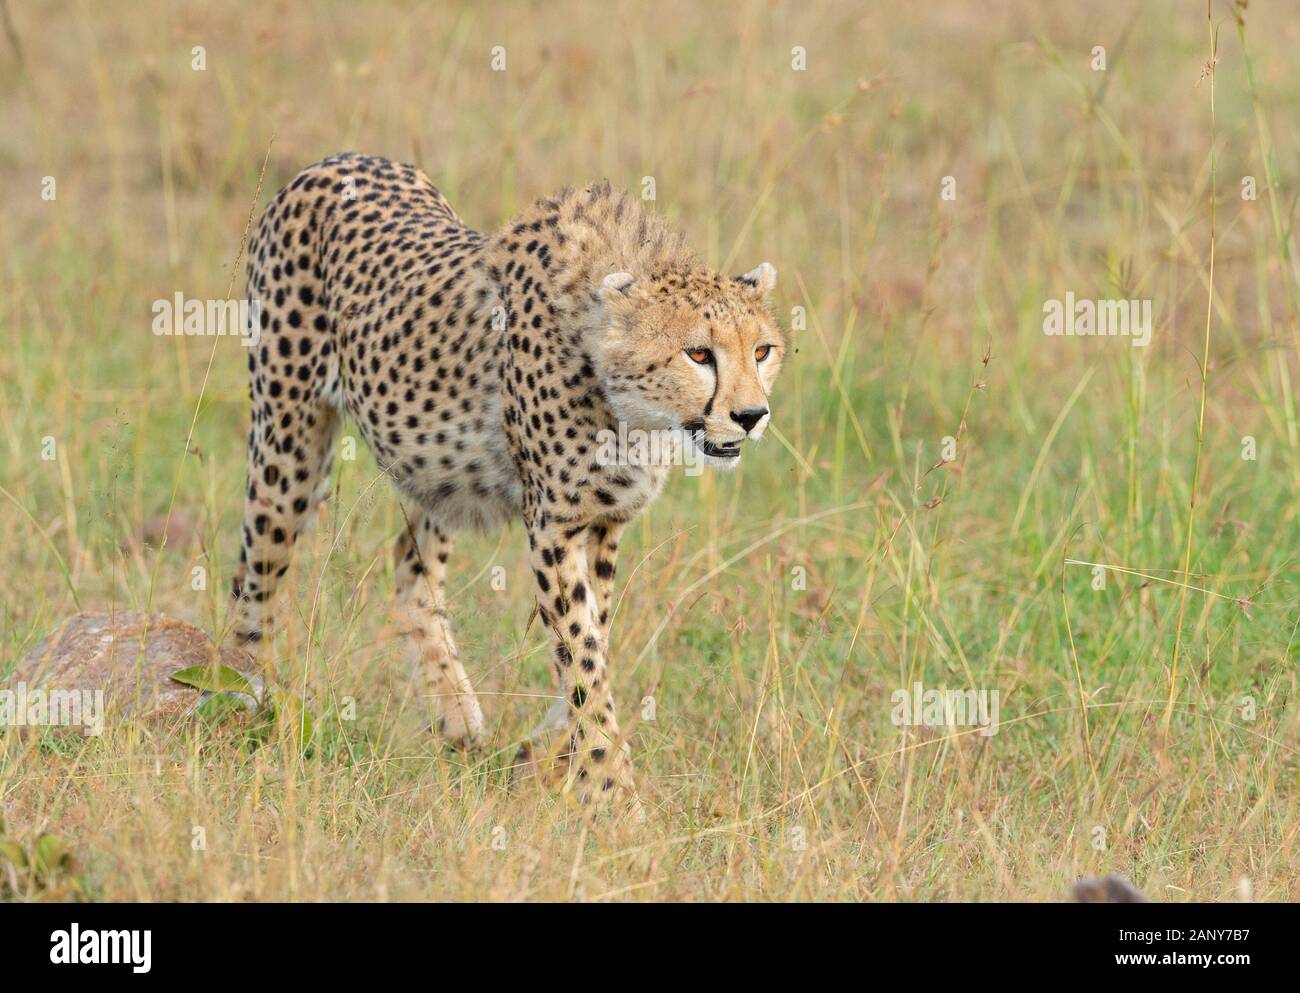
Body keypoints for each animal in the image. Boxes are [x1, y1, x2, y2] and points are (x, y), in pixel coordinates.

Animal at [229, 152, 785, 811]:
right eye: (698, 354)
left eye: (762, 351)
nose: (751, 416)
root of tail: (337, 159)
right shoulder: (554, 526)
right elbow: (583, 655)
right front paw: (610, 786)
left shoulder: (604, 524)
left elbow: (594, 639)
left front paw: (554, 750)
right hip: (288, 443)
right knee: (254, 577)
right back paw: (245, 699)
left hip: (439, 471)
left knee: (408, 567)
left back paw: (454, 711)